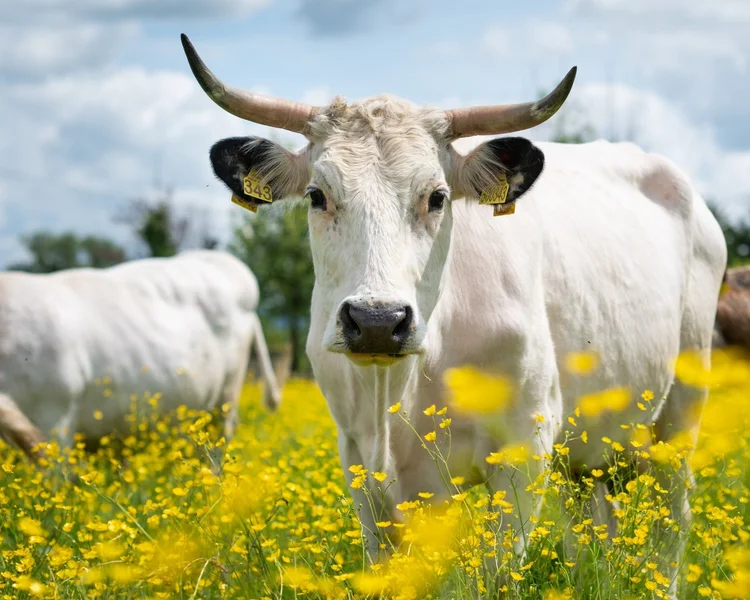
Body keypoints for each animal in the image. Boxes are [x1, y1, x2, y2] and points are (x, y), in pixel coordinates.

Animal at [181, 34, 727, 597]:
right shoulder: (358, 456)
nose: (377, 321)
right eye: (317, 195)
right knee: (593, 527)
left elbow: (500, 570)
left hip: (681, 409)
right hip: (593, 449)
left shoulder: (525, 447)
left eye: (437, 196)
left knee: (672, 521)